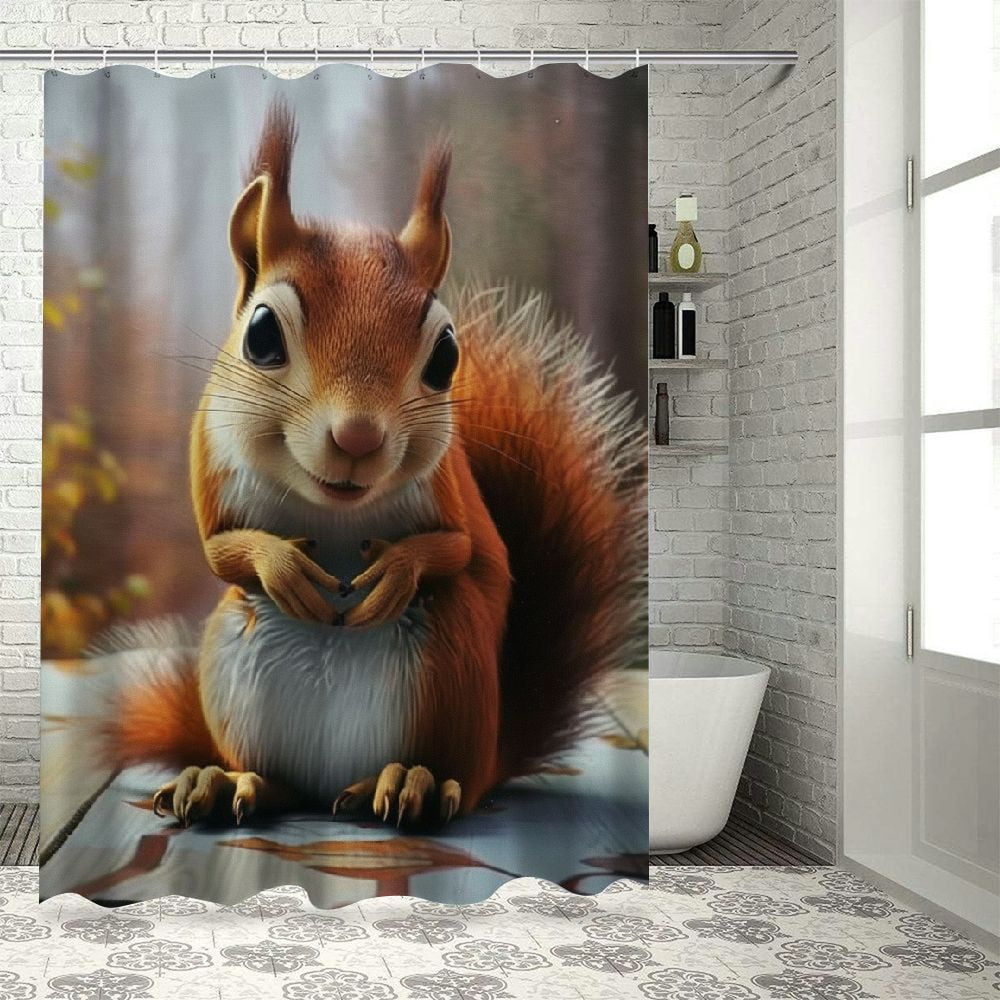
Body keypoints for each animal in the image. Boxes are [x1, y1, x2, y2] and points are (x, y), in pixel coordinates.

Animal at [86, 101, 646, 829]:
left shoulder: (450, 485)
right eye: (260, 334)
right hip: (236, 670)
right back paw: (227, 782)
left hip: (449, 668)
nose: (357, 436)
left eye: (446, 355)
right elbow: (219, 547)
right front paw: (281, 566)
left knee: (453, 777)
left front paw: (396, 569)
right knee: (282, 781)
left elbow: (461, 547)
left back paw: (414, 781)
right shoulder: (209, 458)